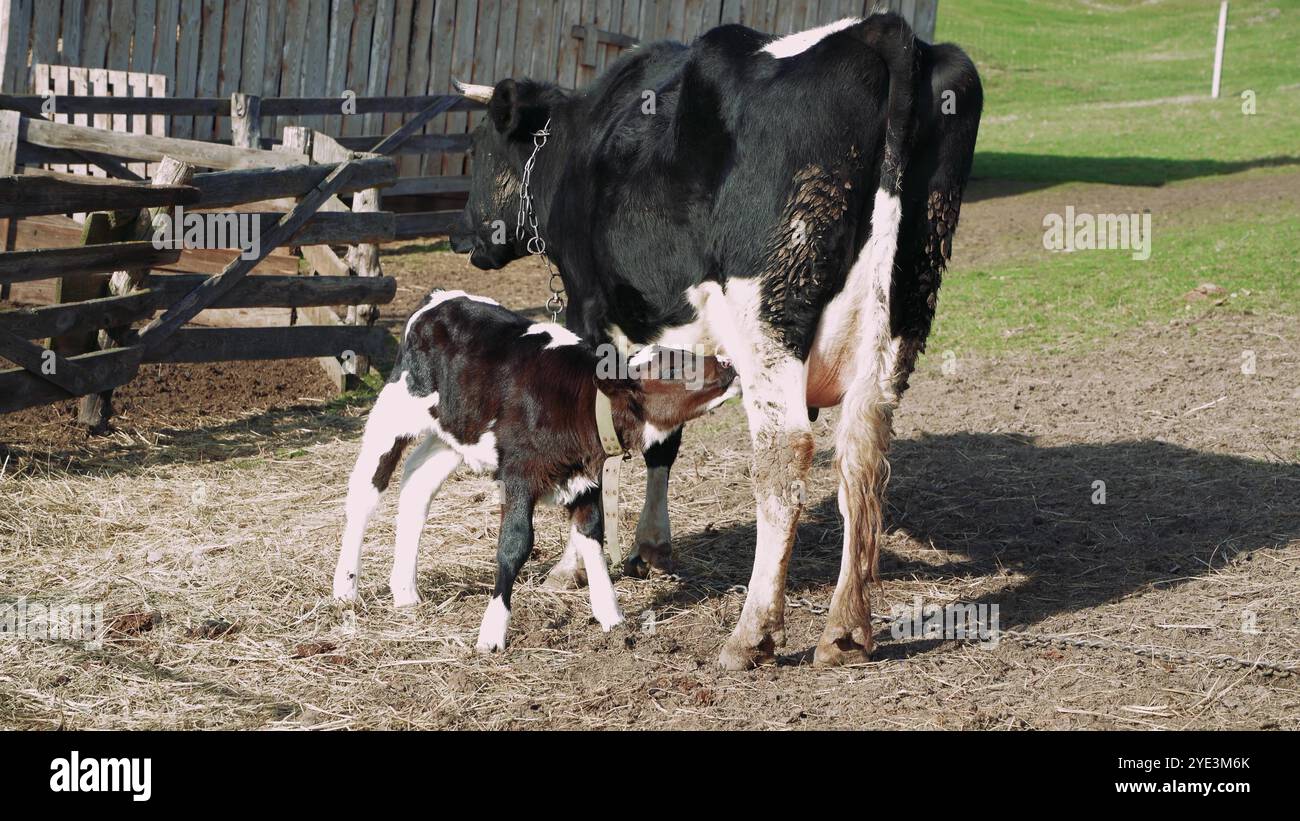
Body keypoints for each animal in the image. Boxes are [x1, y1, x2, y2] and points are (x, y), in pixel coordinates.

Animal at [333, 289, 739, 652]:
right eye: (672, 367)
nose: (727, 363)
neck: (581, 404)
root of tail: (439, 300)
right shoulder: (519, 474)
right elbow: (515, 544)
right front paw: (492, 633)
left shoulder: (584, 480)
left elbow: (592, 536)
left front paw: (611, 616)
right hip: (393, 412)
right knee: (364, 495)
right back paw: (346, 589)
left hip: (454, 433)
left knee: (417, 482)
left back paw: (405, 592)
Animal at [449, 12, 983, 669]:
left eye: (478, 149)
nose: (461, 236)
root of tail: (879, 31)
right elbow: (662, 439)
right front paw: (651, 547)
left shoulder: (590, 308)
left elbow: (600, 442)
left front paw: (573, 566)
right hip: (903, 315)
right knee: (862, 451)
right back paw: (845, 631)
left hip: (769, 319)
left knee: (785, 456)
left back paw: (752, 633)